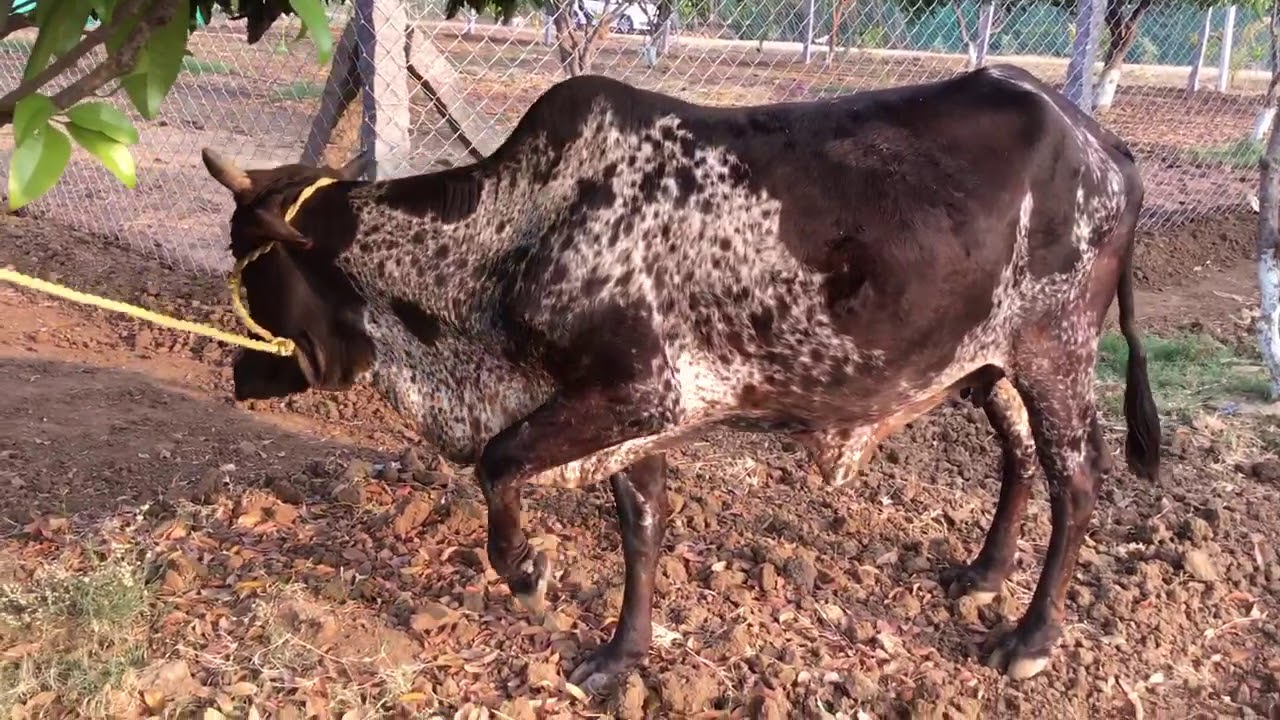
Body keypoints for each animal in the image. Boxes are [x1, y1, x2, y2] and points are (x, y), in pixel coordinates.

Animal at [201, 62, 1160, 689]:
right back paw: (983, 574)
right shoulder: (629, 411)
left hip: (1056, 352)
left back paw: (1030, 638)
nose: (242, 380)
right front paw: (620, 658)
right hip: (988, 364)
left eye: (252, 262)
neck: (516, 231)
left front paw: (527, 576)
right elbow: (643, 525)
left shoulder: (639, 393)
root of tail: (1101, 140)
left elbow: (498, 466)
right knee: (1017, 459)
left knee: (1077, 481)